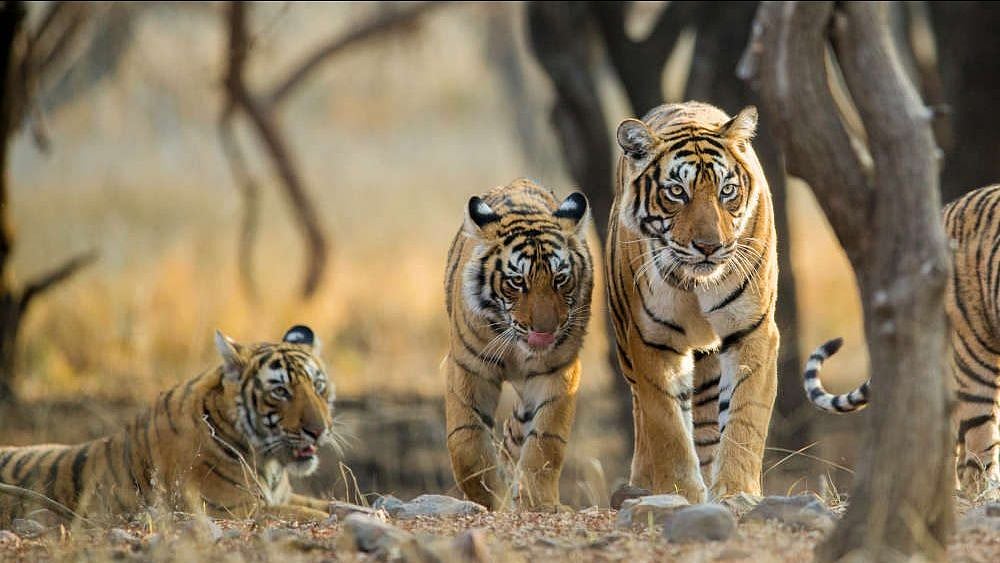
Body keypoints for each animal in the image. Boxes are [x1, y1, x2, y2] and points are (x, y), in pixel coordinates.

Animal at [0, 325, 338, 524]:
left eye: (318, 386)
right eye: (280, 391)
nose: (319, 430)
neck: (269, 464)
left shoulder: (281, 497)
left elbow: (333, 504)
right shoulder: (231, 509)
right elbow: (309, 513)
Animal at [443, 178, 593, 510]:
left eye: (560, 279)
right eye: (517, 282)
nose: (545, 331)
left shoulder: (558, 371)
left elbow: (545, 441)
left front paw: (538, 503)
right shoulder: (468, 368)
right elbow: (466, 442)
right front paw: (488, 499)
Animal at [607, 101, 779, 503]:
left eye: (727, 190)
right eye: (676, 192)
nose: (709, 247)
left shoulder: (753, 330)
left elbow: (745, 417)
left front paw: (736, 491)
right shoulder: (653, 340)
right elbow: (666, 425)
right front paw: (679, 492)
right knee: (643, 414)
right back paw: (641, 482)